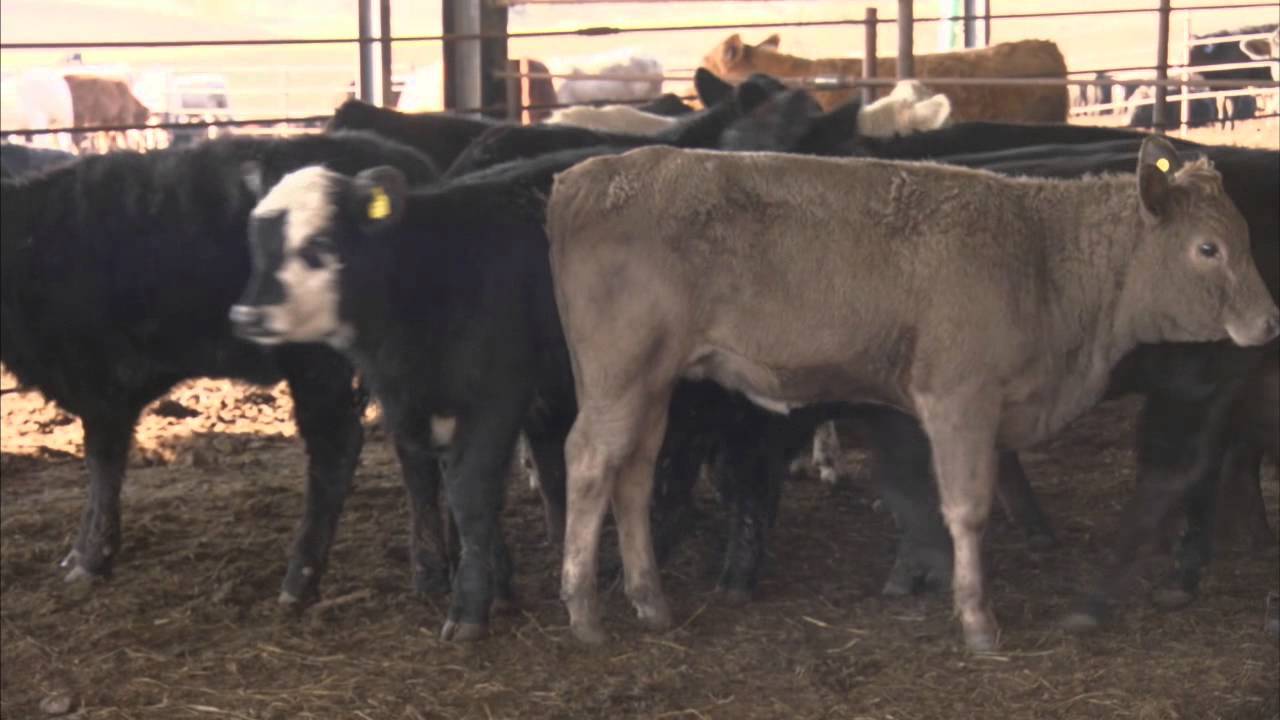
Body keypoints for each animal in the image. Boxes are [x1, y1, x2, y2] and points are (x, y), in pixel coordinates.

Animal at [0, 131, 440, 604]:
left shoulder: (102, 385)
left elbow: (102, 466)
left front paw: (90, 558)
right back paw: (431, 571)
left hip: (318, 362)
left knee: (336, 446)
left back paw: (300, 581)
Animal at [544, 138, 1279, 651]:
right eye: (1208, 248)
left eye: (1246, 240)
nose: (1270, 321)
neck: (1041, 257)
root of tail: (585, 179)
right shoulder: (960, 399)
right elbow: (967, 509)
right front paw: (978, 619)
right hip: (620, 373)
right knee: (588, 461)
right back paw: (583, 611)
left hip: (647, 381)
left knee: (633, 472)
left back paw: (650, 602)